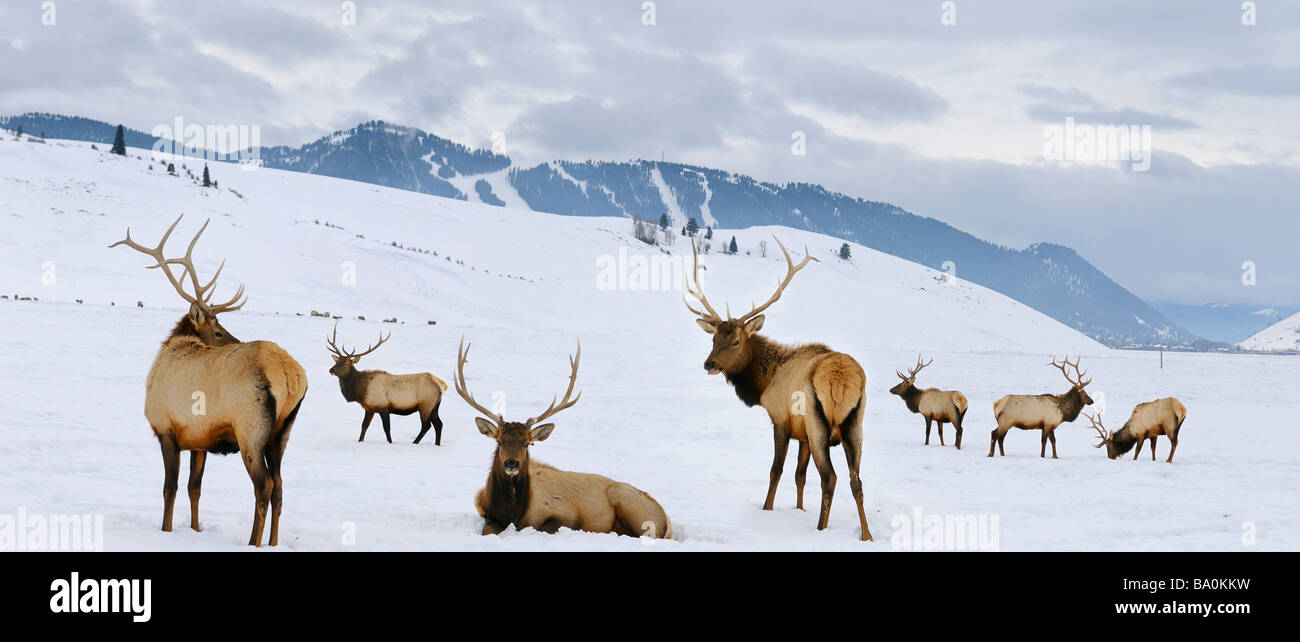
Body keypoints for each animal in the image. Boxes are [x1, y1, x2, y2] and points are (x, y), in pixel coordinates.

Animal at [110, 215, 308, 547]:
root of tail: (292, 376)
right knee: (280, 486)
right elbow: (195, 487)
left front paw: (166, 530)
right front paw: (195, 529)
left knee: (264, 485)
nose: (235, 340)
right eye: (218, 331)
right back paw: (272, 542)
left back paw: (253, 542)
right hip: (283, 430)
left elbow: (170, 488)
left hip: (250, 429)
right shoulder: (198, 439)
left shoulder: (165, 430)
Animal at [454, 338, 673, 539]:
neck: (511, 513)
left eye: (527, 444)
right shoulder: (485, 511)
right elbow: (487, 530)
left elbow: (545, 527)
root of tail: (666, 519)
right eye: (499, 442)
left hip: (626, 499)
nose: (511, 463)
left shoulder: (566, 514)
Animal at [684, 237, 872, 541]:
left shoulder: (781, 422)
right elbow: (799, 475)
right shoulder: (802, 434)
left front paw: (767, 508)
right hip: (854, 424)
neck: (764, 383)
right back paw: (866, 535)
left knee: (830, 478)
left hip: (820, 425)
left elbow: (777, 470)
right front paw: (799, 509)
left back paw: (821, 529)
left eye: (736, 341)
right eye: (713, 339)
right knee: (856, 480)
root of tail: (842, 380)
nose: (708, 363)